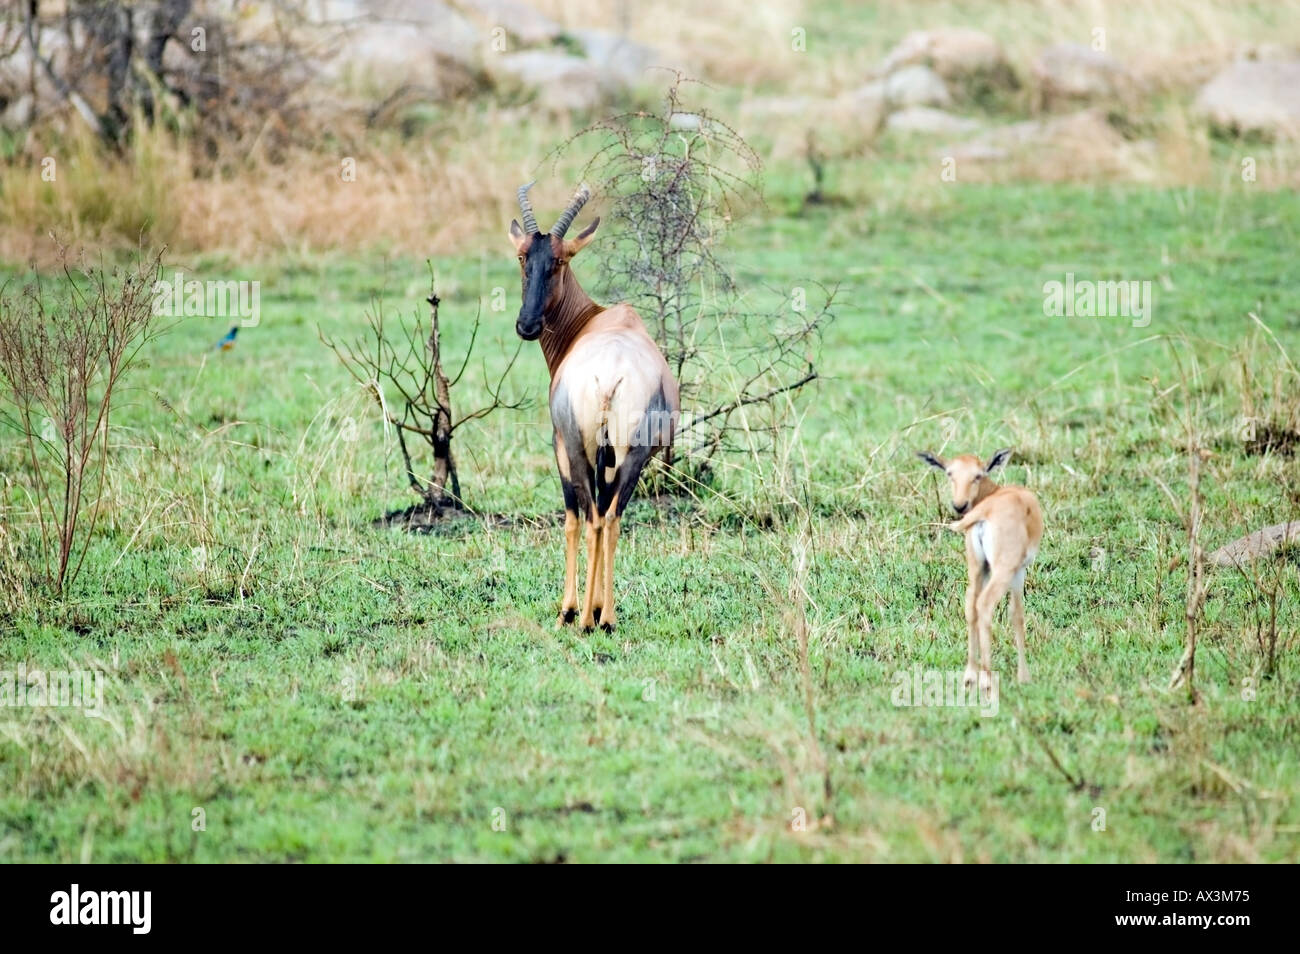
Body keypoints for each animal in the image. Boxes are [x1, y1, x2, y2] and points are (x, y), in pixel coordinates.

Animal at [510, 182, 680, 632]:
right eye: (523, 257)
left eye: (560, 260)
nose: (527, 325)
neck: (597, 319)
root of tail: (611, 374)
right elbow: (604, 515)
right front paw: (601, 606)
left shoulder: (559, 446)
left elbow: (571, 518)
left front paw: (568, 608)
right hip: (632, 455)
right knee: (611, 519)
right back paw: (606, 618)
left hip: (577, 446)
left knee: (588, 520)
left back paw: (582, 617)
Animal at [918, 448, 1043, 690]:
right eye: (949, 473)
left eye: (977, 475)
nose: (959, 505)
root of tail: (986, 510)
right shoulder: (1018, 571)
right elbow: (1017, 615)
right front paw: (1024, 677)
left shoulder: (985, 568)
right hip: (1002, 571)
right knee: (985, 604)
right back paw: (986, 679)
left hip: (976, 568)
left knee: (971, 604)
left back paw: (970, 675)